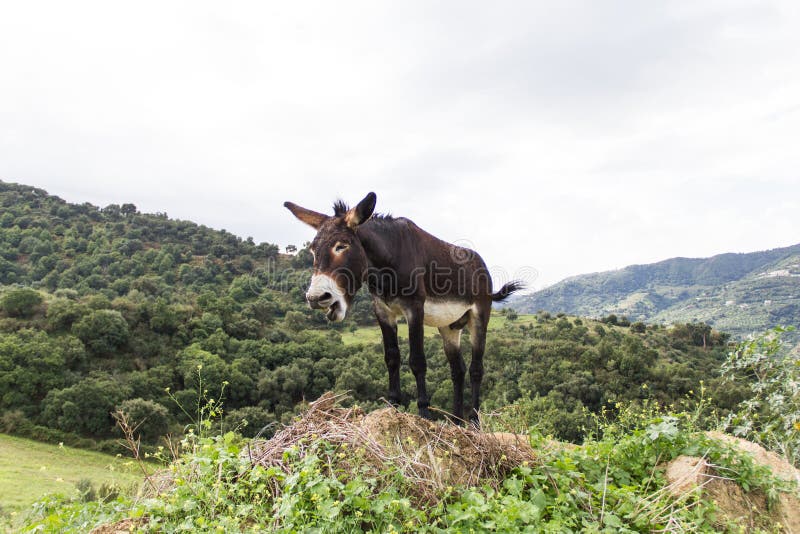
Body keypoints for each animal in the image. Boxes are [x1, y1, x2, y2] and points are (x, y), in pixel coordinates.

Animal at [284, 192, 522, 424]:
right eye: (313, 251)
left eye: (341, 246)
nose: (316, 298)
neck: (387, 262)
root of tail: (481, 265)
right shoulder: (383, 311)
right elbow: (391, 357)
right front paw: (393, 404)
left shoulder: (414, 309)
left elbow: (417, 361)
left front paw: (424, 411)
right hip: (449, 326)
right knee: (458, 370)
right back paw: (456, 421)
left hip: (479, 315)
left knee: (476, 369)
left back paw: (473, 420)